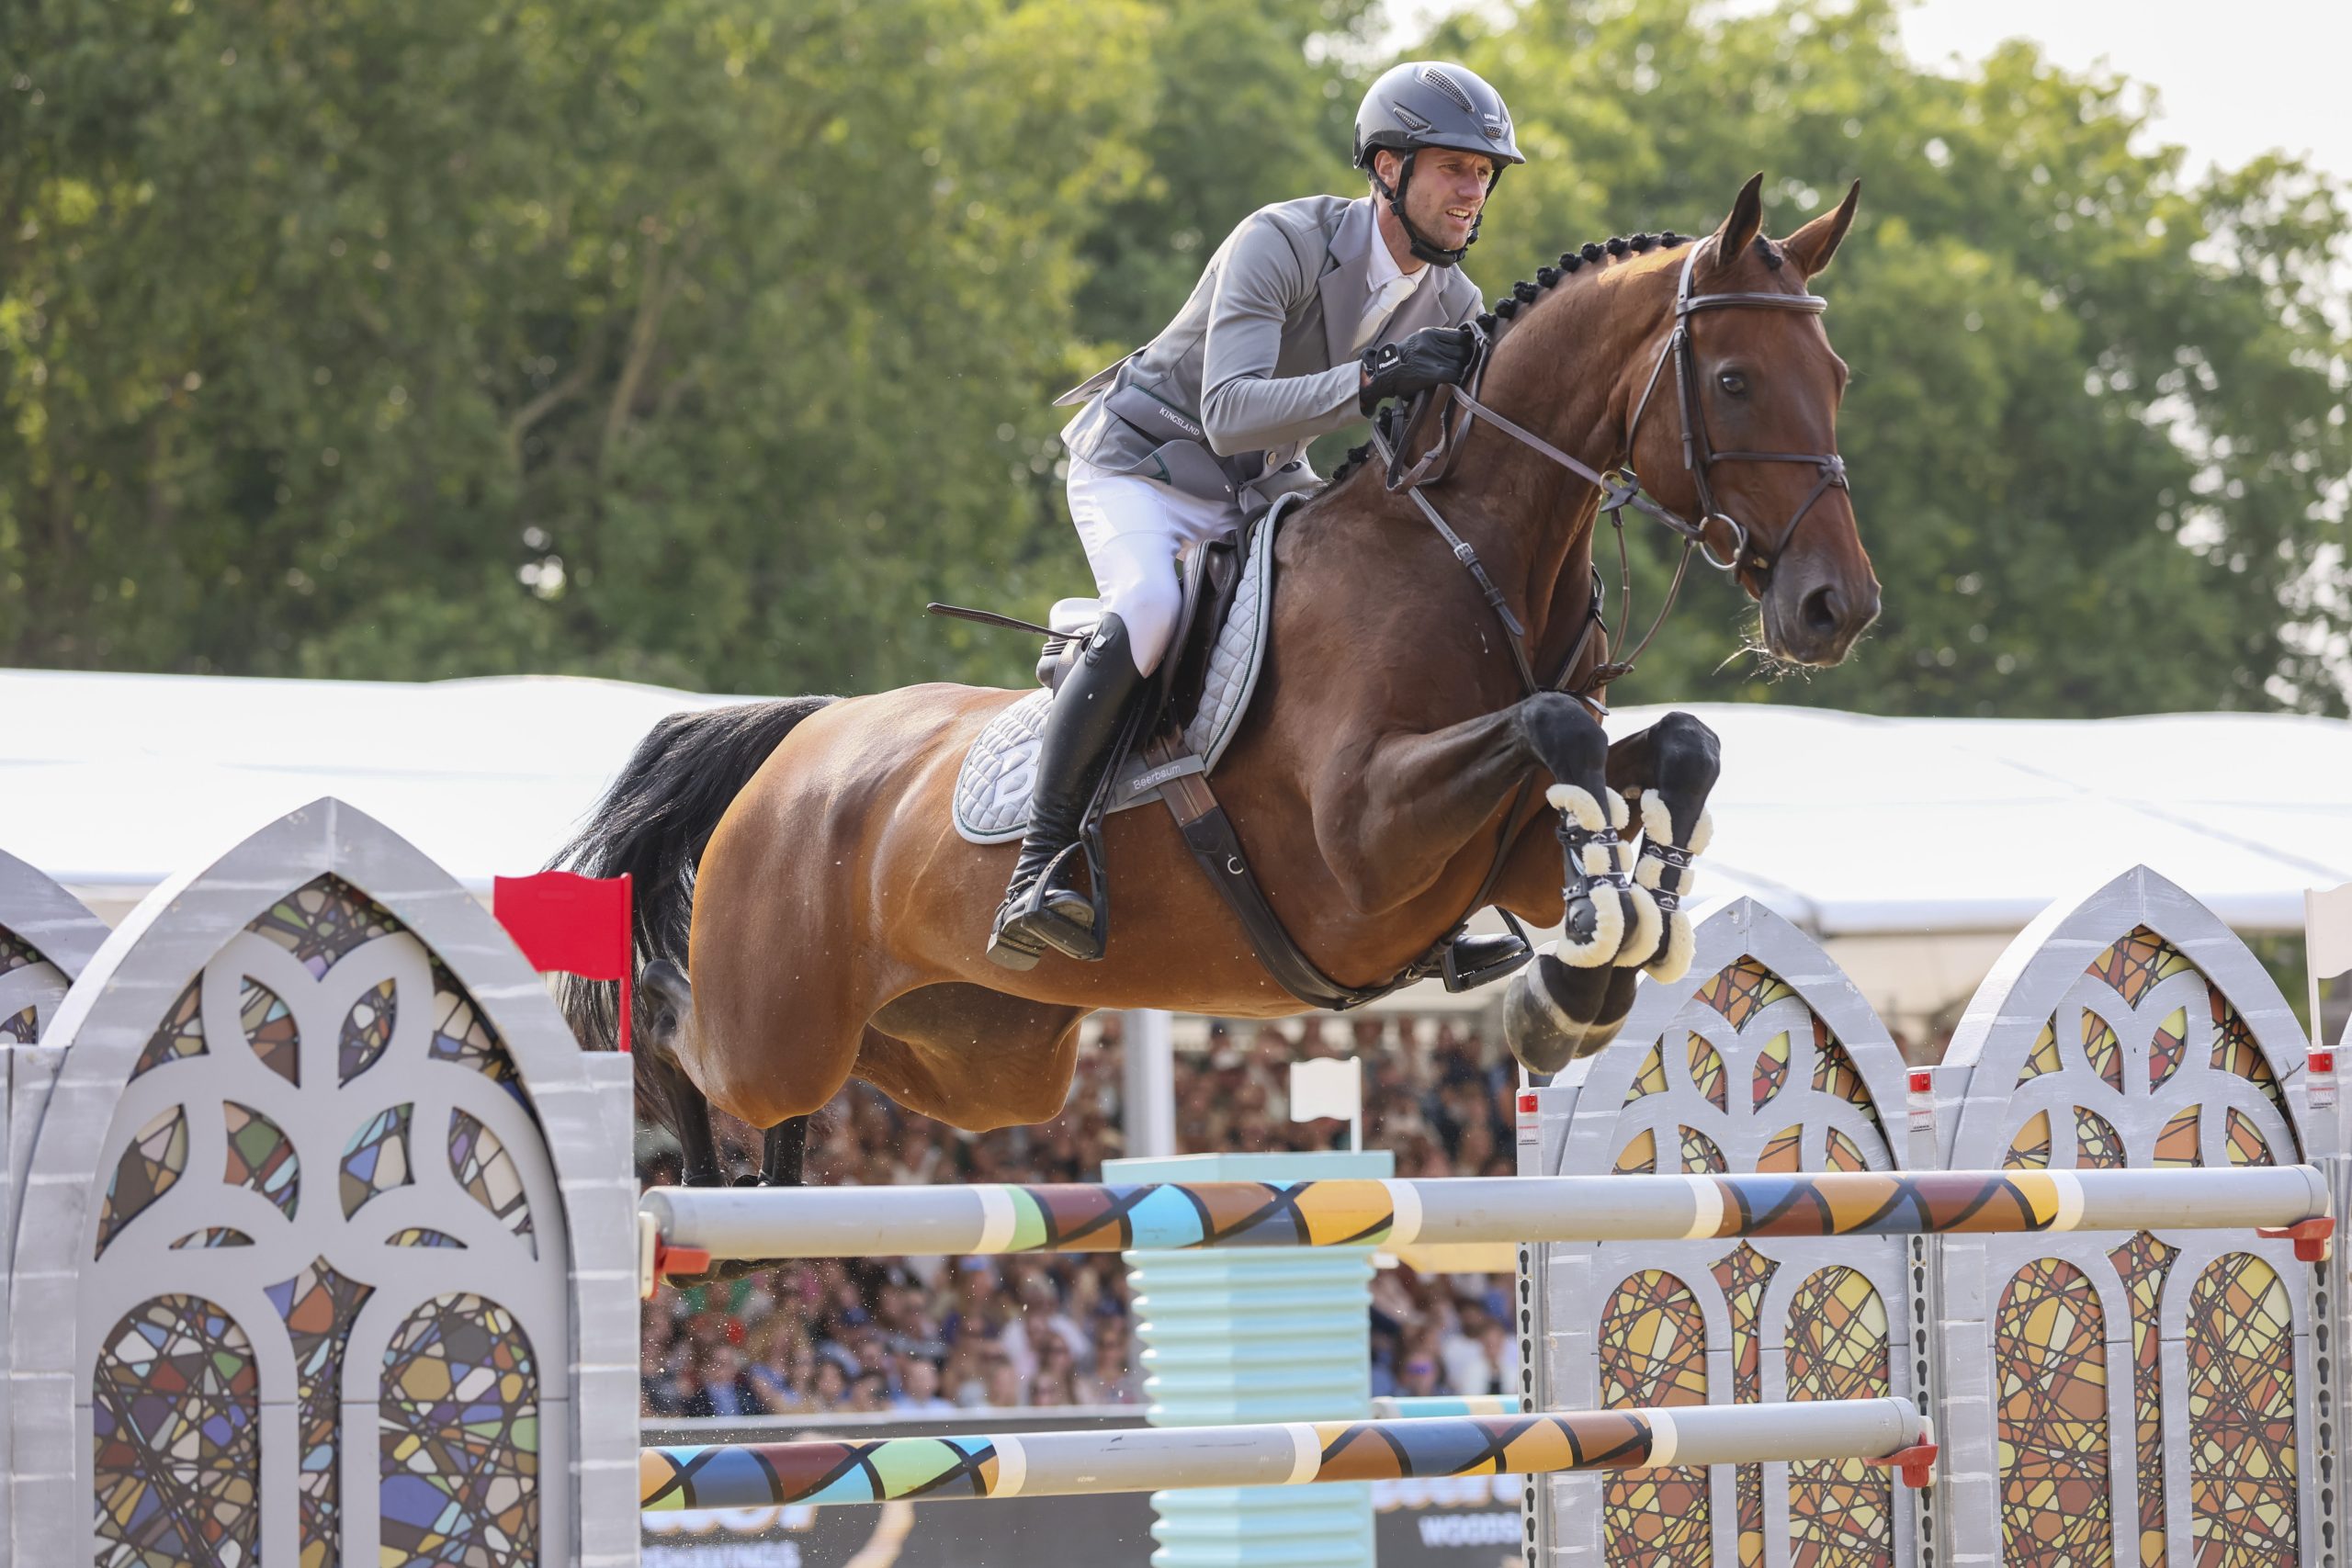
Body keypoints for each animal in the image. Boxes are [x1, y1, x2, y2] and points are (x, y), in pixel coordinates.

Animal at [558, 174, 1879, 1191]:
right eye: (1734, 381)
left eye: (1837, 373)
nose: (1837, 607)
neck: (1460, 555)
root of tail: (800, 741)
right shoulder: (1362, 847)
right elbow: (1552, 724)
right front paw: (1584, 964)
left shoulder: (1496, 850)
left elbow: (1676, 749)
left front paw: (1586, 974)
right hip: (774, 1010)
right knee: (687, 1034)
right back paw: (678, 1147)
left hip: (981, 1054)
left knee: (849, 1082)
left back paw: (768, 1175)